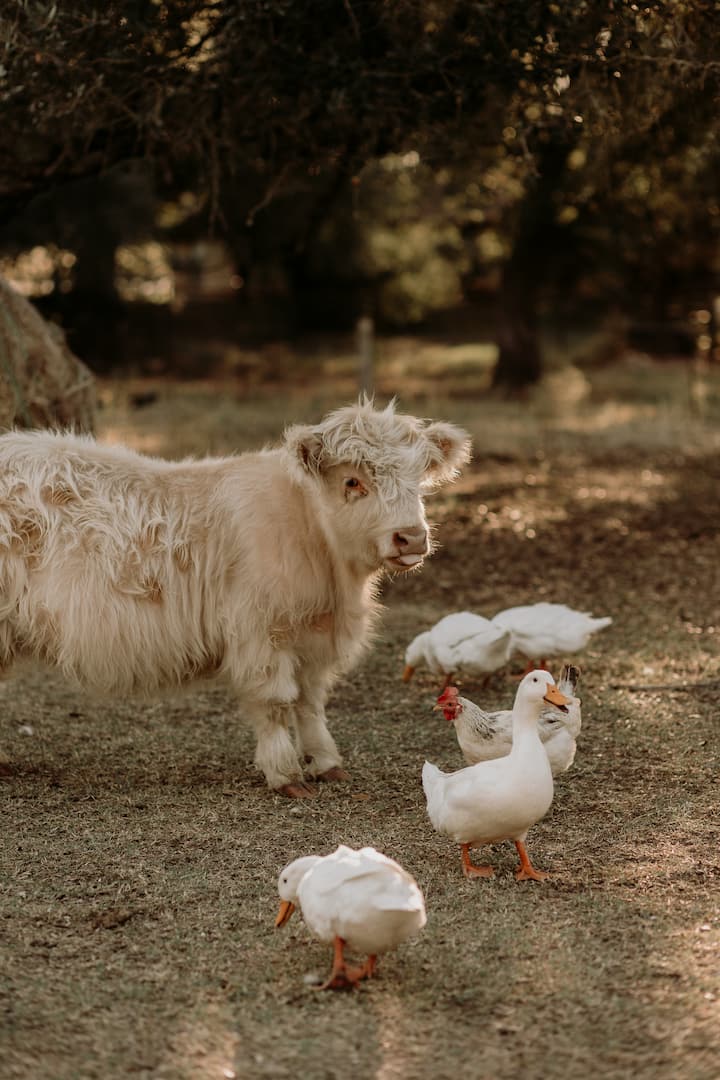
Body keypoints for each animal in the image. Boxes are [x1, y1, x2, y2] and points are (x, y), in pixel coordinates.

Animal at [0, 399, 470, 795]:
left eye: (418, 481)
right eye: (353, 481)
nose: (411, 537)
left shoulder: (312, 643)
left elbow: (310, 704)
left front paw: (326, 763)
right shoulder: (263, 634)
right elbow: (277, 703)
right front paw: (286, 775)